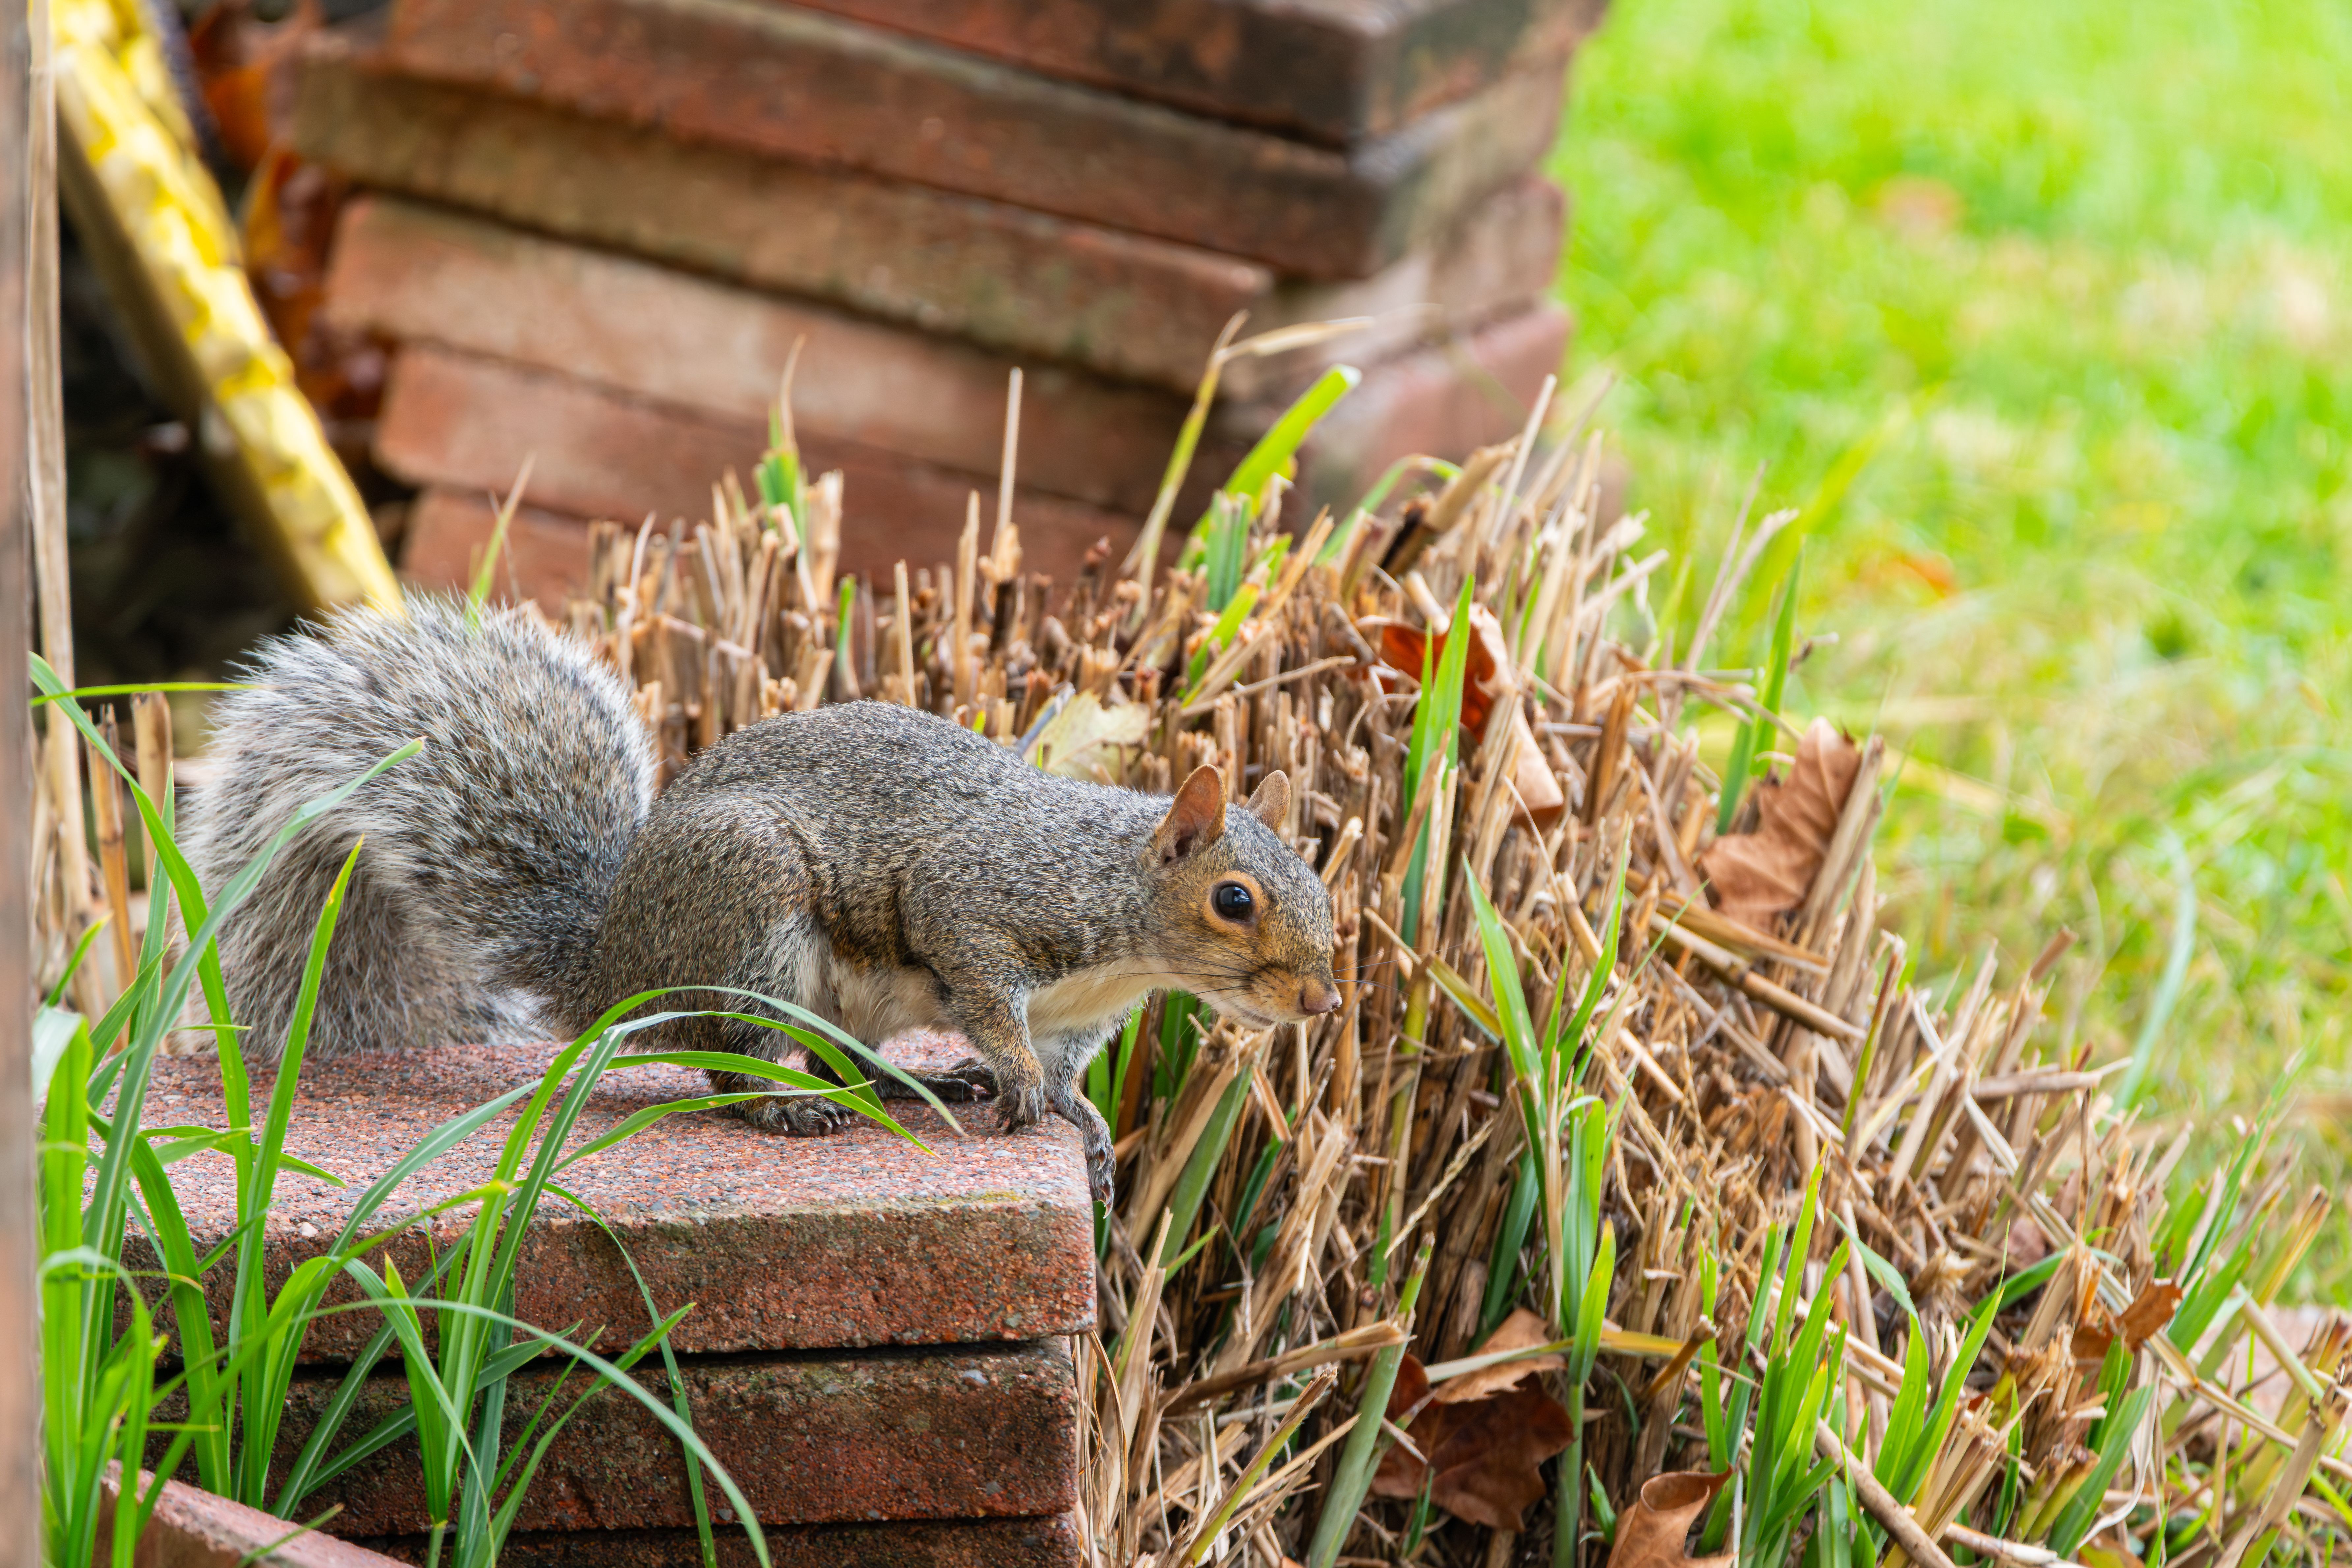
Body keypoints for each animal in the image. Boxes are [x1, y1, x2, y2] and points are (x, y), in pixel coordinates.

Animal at [183, 595, 1341, 1205]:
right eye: (1234, 899)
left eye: (1322, 891)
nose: (1321, 1003)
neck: (1118, 903)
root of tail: (620, 968)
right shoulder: (976, 899)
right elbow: (985, 989)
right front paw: (1015, 1080)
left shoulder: (1079, 1016)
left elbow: (1062, 1074)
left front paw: (1080, 1121)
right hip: (753, 917)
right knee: (734, 1061)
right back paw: (793, 1104)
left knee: (832, 1053)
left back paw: (916, 1081)